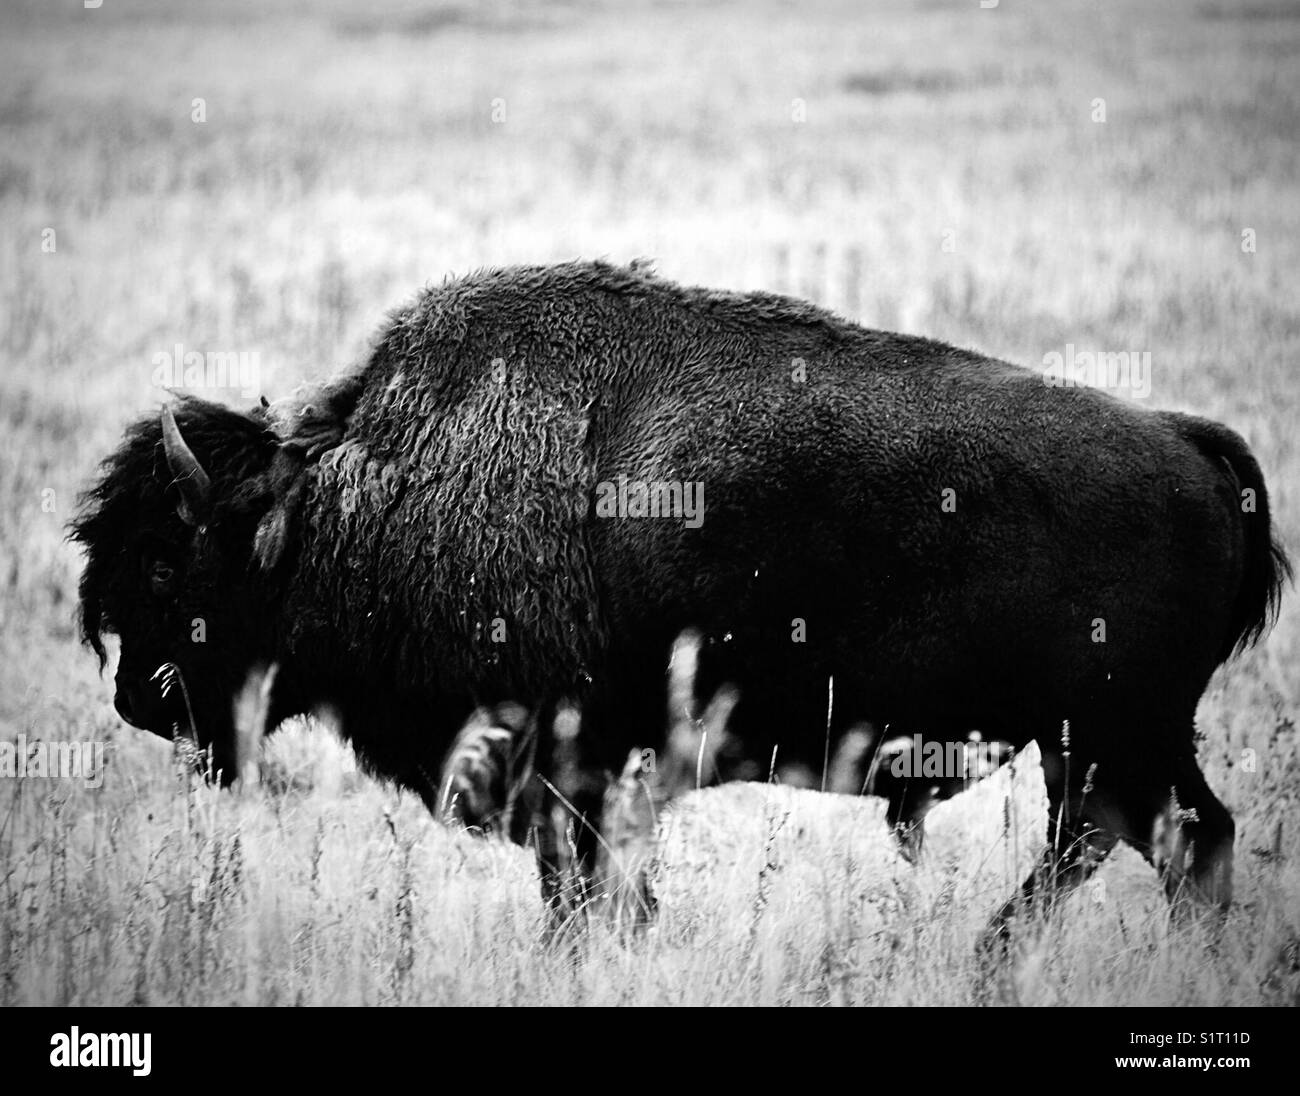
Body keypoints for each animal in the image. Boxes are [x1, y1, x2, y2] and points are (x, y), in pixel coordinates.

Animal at [72, 260, 1287, 932]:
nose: (136, 694)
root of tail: (1191, 442)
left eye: (168, 563)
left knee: (1170, 843)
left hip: (1112, 738)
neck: (345, 501)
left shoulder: (568, 778)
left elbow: (586, 905)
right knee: (1165, 845)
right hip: (1101, 745)